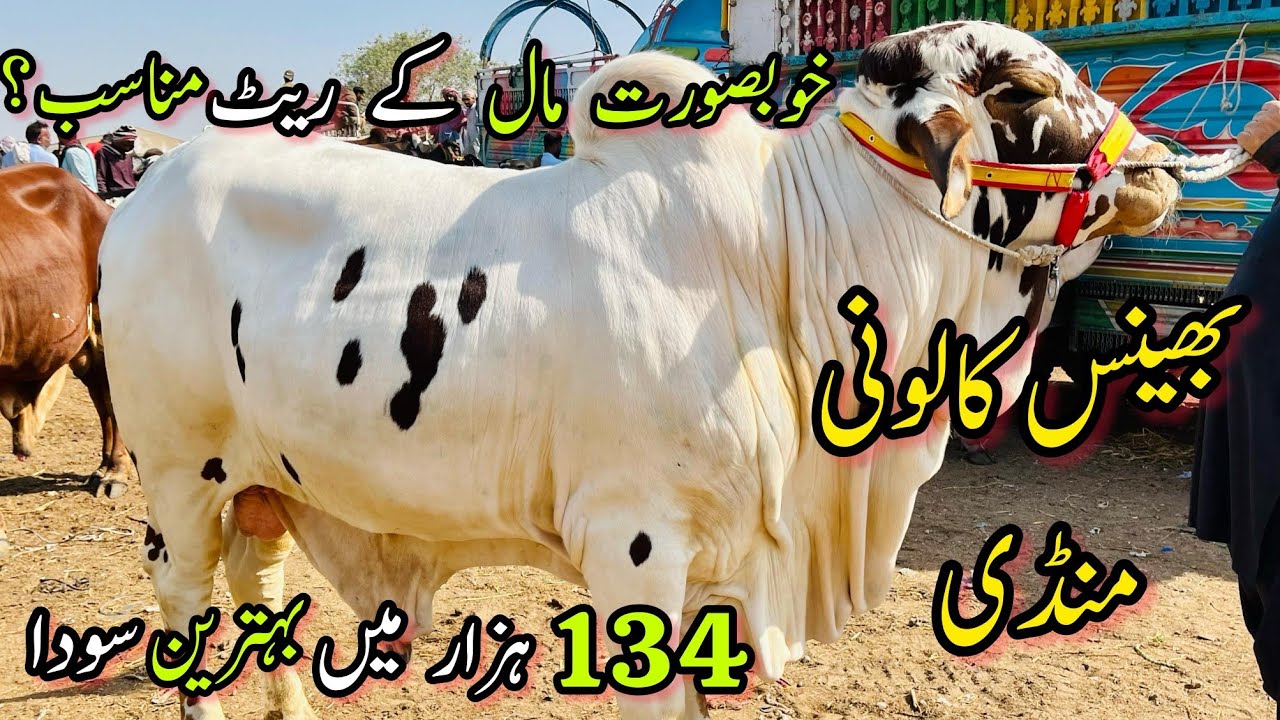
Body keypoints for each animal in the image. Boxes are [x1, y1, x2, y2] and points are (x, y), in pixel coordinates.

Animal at [97, 21, 1178, 720]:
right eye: (1022, 89)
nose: (1162, 166)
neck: (780, 259)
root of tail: (144, 190)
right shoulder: (634, 548)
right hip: (179, 477)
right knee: (186, 600)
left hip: (264, 485)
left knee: (261, 585)